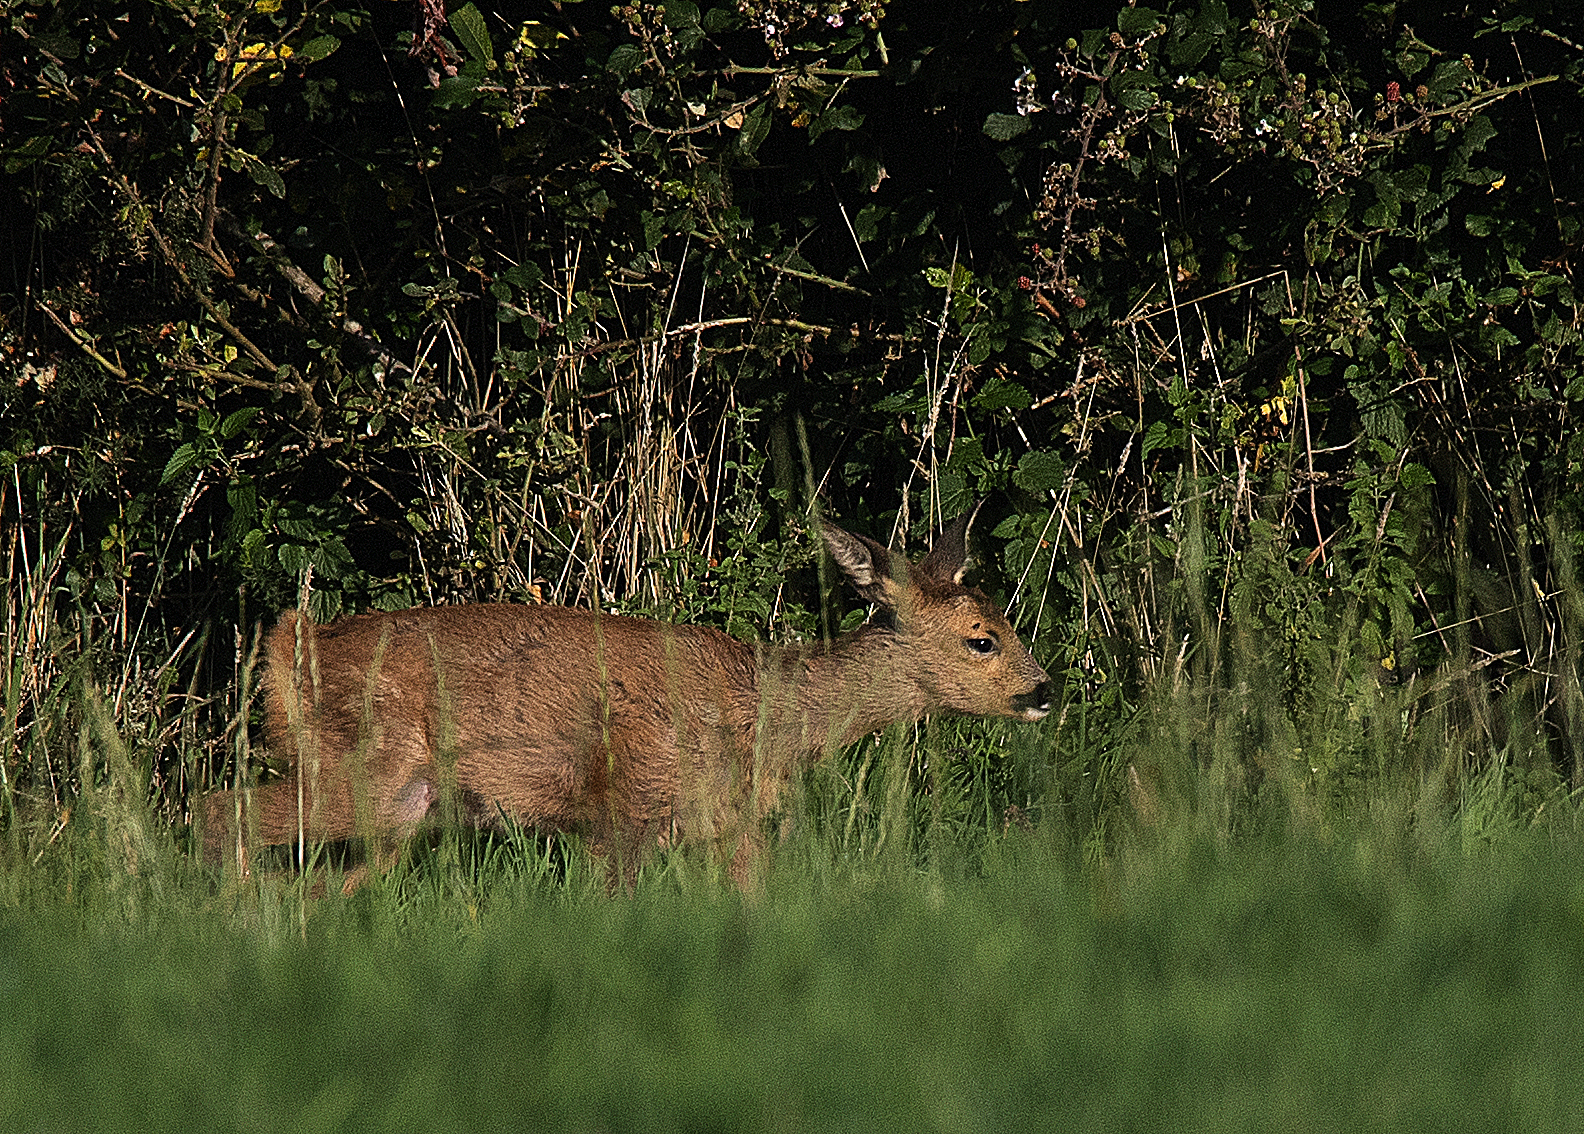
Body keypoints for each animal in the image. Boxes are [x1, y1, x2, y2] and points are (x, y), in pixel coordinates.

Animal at [200, 512, 1053, 888]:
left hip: (401, 806)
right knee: (217, 810)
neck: (767, 714)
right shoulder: (628, 802)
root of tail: (290, 645)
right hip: (363, 764)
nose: (1046, 690)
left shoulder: (729, 823)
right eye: (982, 638)